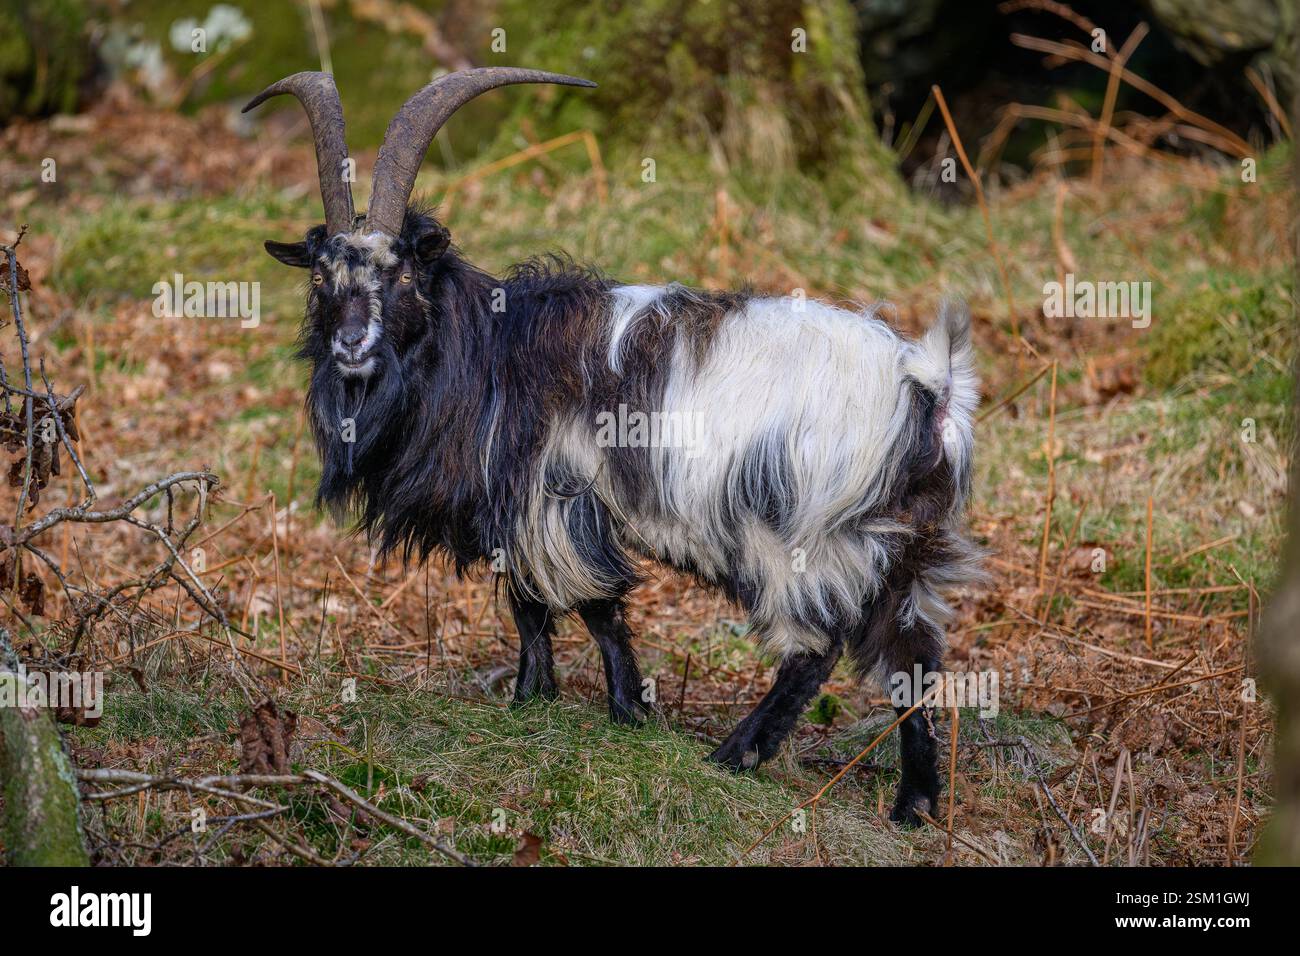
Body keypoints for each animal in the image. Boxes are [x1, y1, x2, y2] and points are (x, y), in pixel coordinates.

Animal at [244, 68, 982, 826]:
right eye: (320, 275)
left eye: (398, 273)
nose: (350, 343)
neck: (489, 348)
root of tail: (928, 387)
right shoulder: (524, 512)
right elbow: (531, 608)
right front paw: (535, 699)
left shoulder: (553, 500)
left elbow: (584, 606)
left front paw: (621, 711)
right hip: (899, 547)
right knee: (914, 656)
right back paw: (914, 804)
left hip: (803, 538)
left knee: (816, 649)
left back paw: (733, 755)